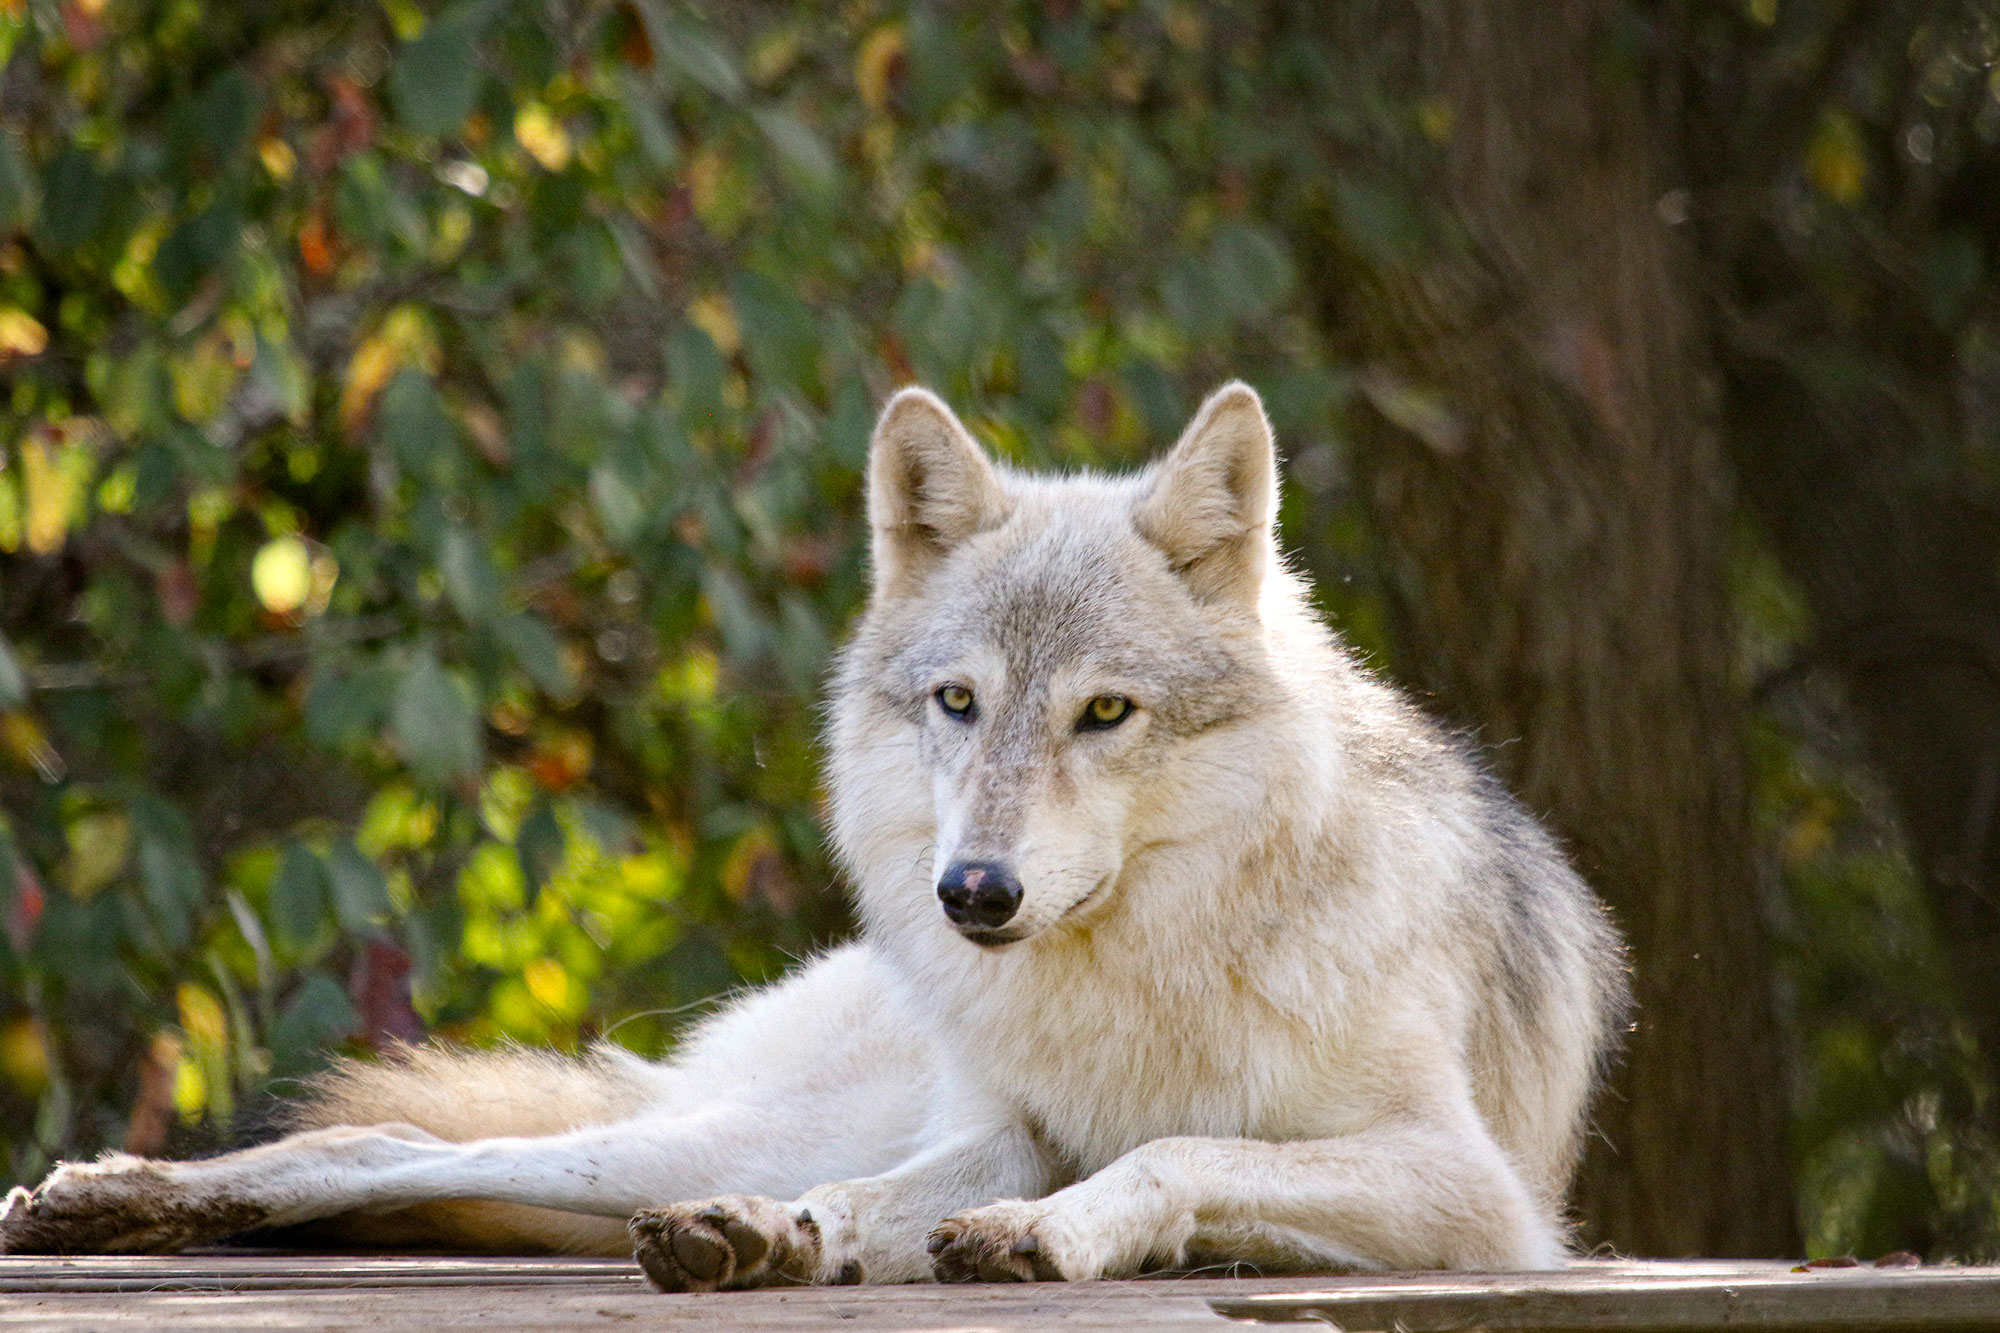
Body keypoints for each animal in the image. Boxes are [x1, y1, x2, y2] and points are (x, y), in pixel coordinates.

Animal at [0, 383, 1629, 1288]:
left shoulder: (1471, 1191)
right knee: (406, 1143)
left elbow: (1168, 1150)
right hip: (744, 1124)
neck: (1147, 971)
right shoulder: (1008, 1128)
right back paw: (113, 1199)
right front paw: (826, 1233)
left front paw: (1044, 1236)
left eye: (1104, 713)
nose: (975, 891)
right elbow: (970, 1183)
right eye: (961, 701)